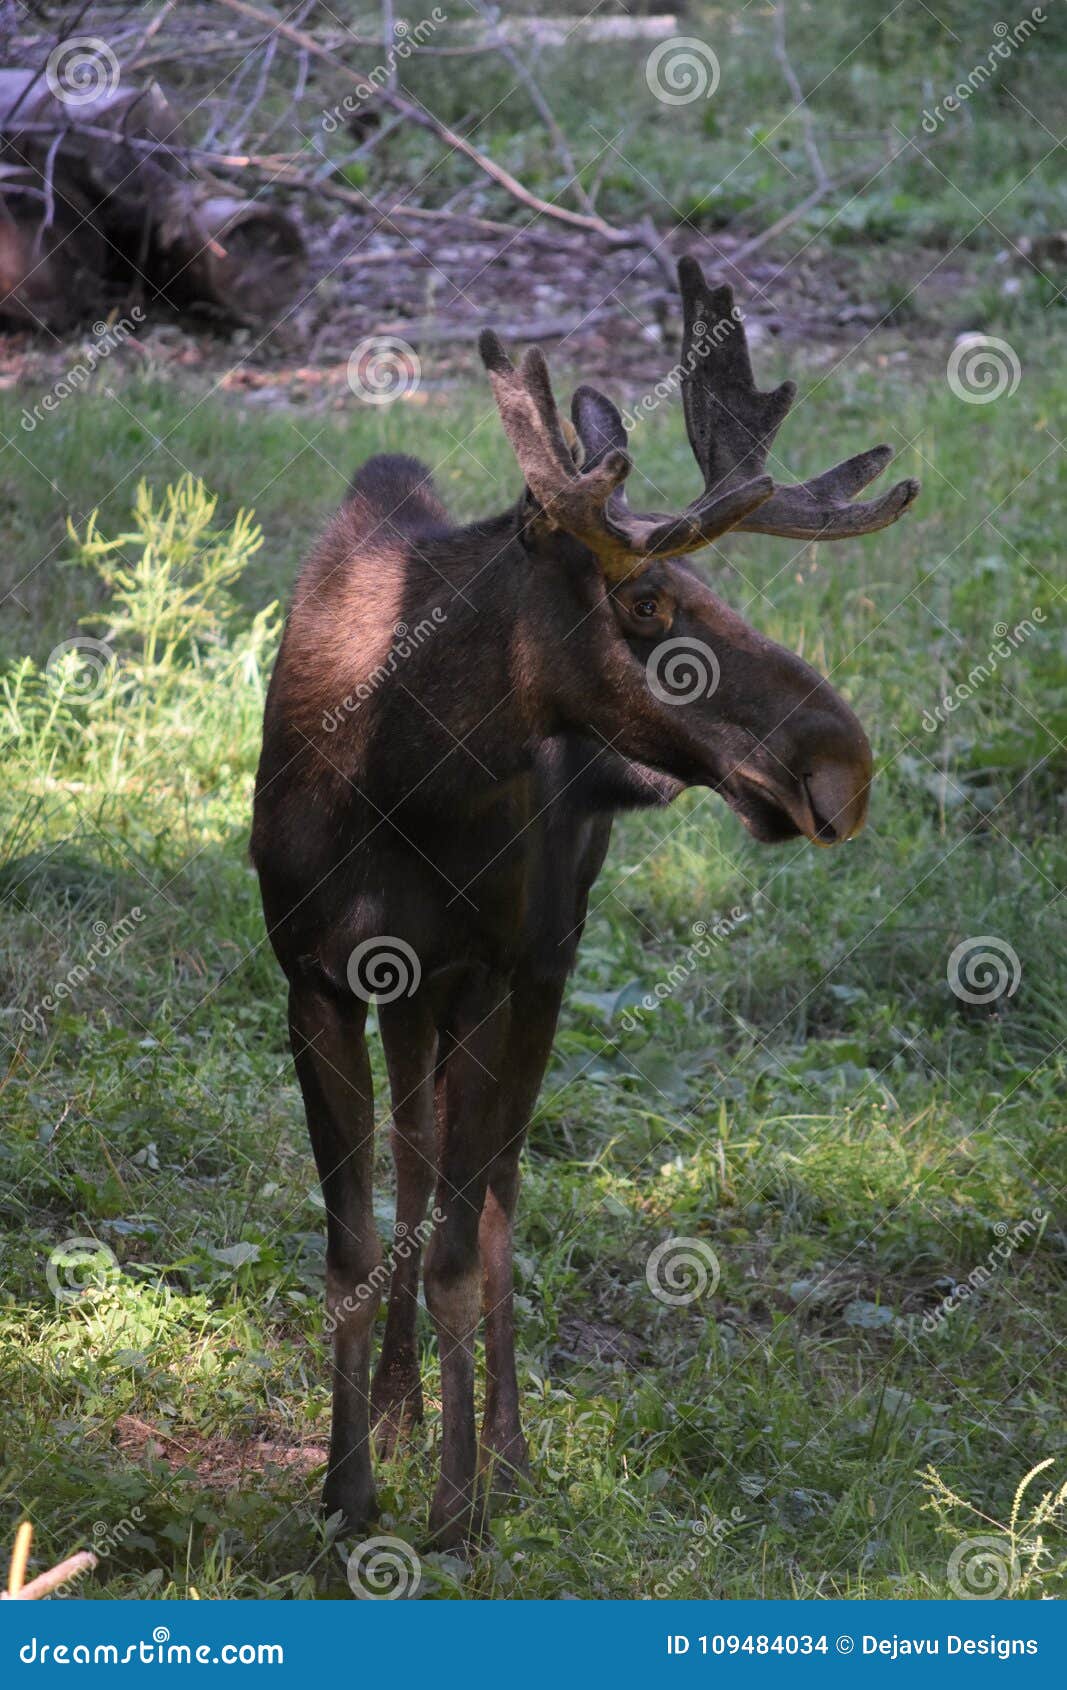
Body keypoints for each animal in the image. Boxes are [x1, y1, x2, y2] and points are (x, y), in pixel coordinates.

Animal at [251, 256, 919, 1549]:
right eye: (649, 604)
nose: (844, 763)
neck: (392, 771)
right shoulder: (315, 975)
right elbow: (354, 1243)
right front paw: (346, 1491)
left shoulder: (489, 969)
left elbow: (463, 1246)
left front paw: (457, 1504)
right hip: (421, 994)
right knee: (422, 1167)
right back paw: (401, 1411)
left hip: (544, 957)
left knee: (494, 1196)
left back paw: (503, 1452)